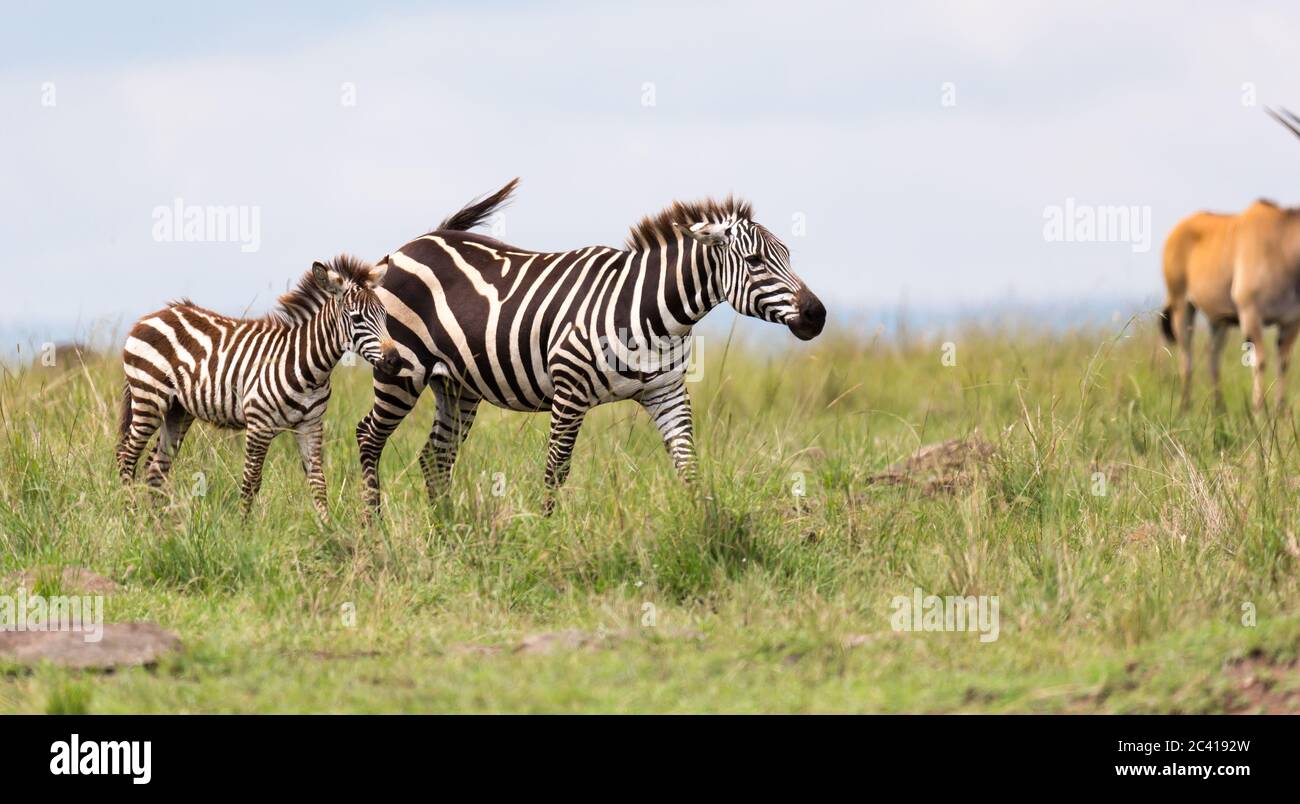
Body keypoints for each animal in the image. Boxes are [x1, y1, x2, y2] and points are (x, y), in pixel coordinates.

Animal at [116, 255, 407, 518]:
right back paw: (132, 520)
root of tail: (152, 316)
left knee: (156, 469)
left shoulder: (310, 425)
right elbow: (251, 482)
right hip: (149, 398)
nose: (395, 361)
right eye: (357, 319)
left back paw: (159, 526)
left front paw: (330, 530)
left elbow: (318, 482)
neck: (308, 368)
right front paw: (242, 529)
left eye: (385, 315)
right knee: (126, 458)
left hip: (178, 410)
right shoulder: (259, 425)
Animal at [356, 179, 826, 516]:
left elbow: (688, 464)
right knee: (368, 436)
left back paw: (448, 530)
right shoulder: (569, 391)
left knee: (435, 458)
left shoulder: (667, 392)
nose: (817, 315)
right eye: (755, 262)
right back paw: (374, 527)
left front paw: (709, 528)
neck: (648, 310)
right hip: (401, 371)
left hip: (458, 386)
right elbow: (556, 469)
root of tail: (412, 244)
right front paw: (548, 534)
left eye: (788, 254)